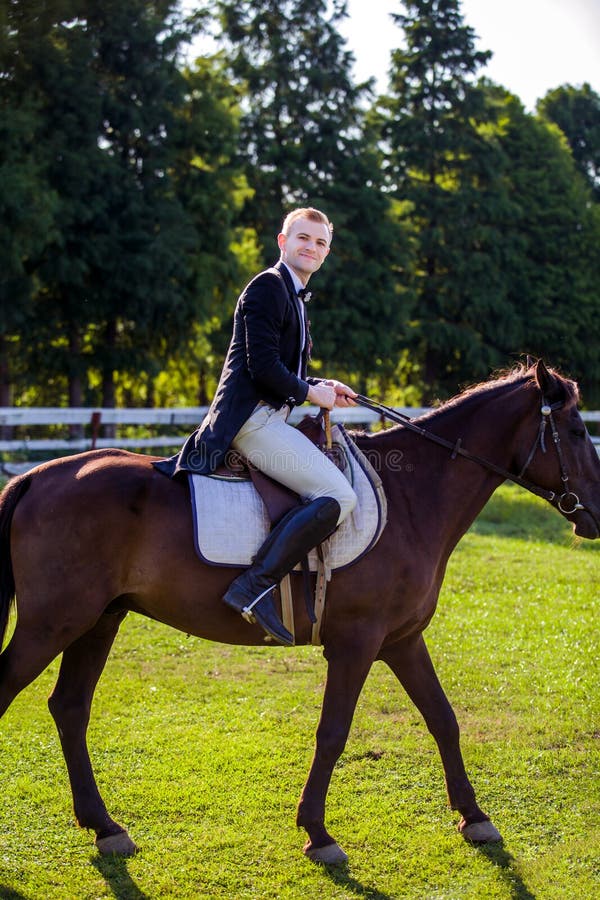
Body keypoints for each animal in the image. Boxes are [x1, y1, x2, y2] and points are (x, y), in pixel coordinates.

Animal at [0, 359, 599, 864]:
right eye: (575, 432)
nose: (595, 514)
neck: (411, 497)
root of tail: (38, 476)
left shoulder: (402, 640)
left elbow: (443, 719)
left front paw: (474, 817)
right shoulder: (357, 644)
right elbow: (333, 732)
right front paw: (318, 832)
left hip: (99, 620)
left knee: (70, 707)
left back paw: (105, 827)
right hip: (51, 623)